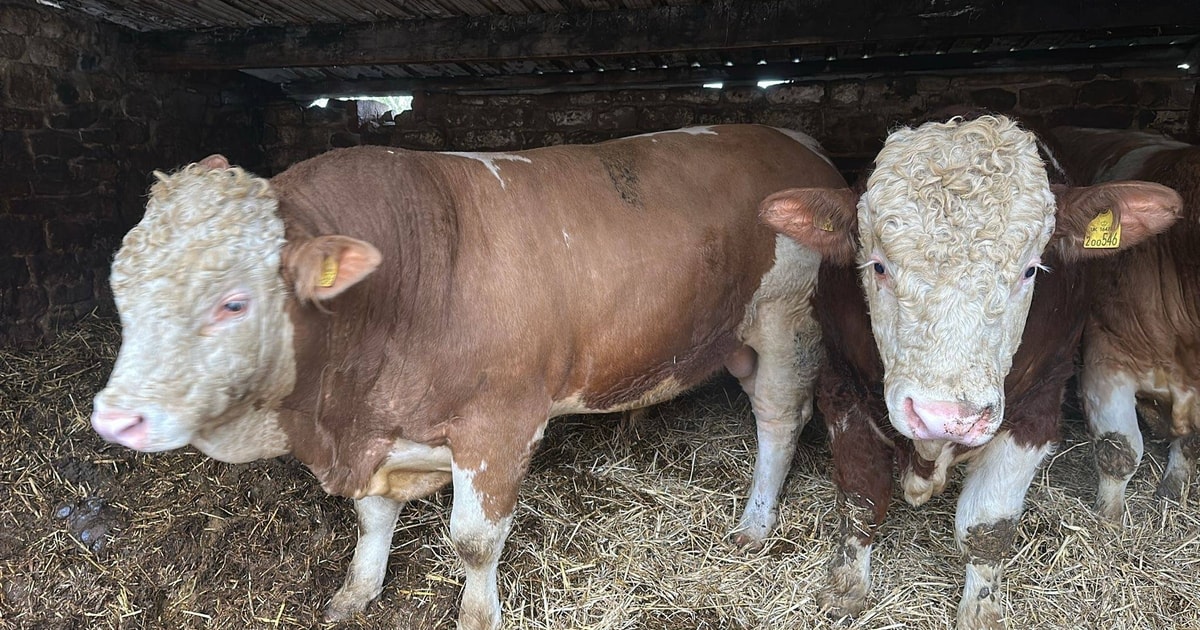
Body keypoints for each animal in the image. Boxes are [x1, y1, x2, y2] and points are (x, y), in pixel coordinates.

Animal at [88, 125, 846, 630]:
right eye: (119, 284)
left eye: (234, 303)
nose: (116, 417)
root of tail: (791, 138)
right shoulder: (381, 432)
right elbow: (373, 517)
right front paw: (357, 591)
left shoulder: (499, 426)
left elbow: (475, 543)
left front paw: (479, 616)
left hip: (785, 317)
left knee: (780, 419)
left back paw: (755, 523)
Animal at [759, 115, 1180, 629]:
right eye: (877, 266)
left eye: (1030, 271)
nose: (944, 416)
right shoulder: (840, 384)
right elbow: (861, 496)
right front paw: (845, 588)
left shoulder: (1039, 407)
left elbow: (987, 526)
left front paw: (980, 609)